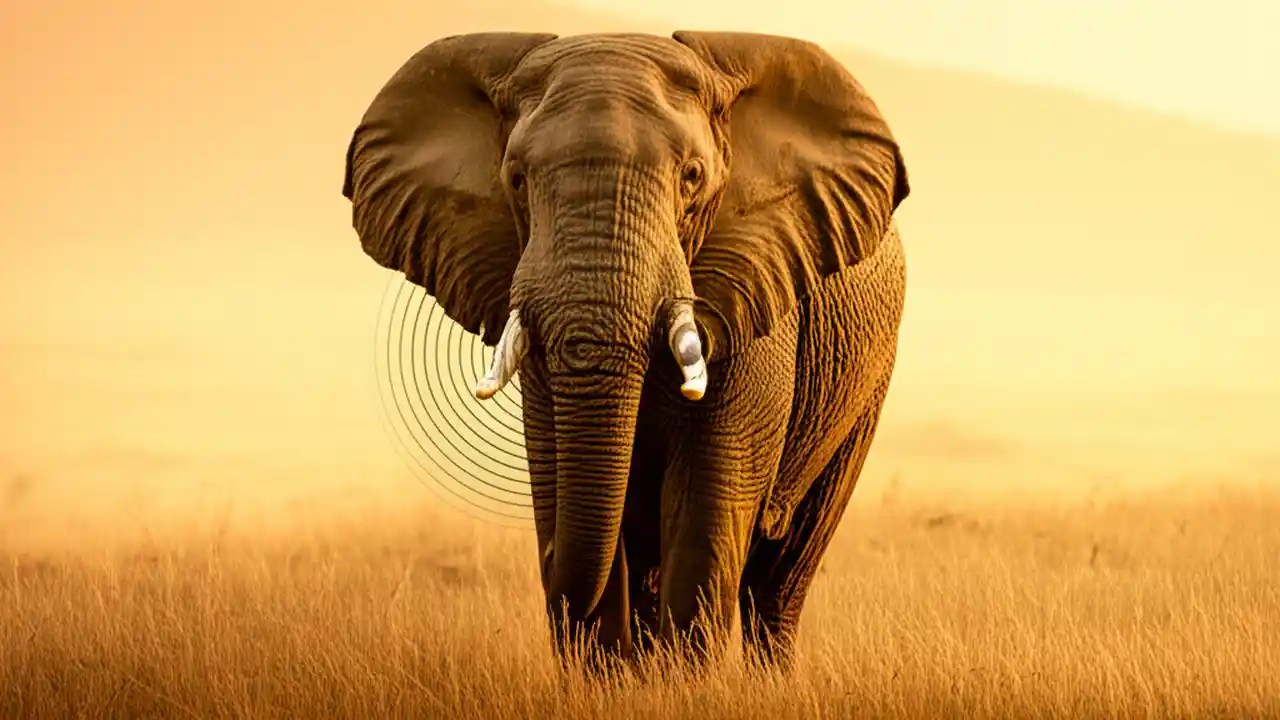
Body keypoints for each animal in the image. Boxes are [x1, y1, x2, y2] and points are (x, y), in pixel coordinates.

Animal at [341, 30, 910, 669]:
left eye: (692, 178)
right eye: (515, 179)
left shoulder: (754, 285)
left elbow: (705, 503)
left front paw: (687, 682)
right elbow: (566, 486)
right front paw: (612, 675)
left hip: (862, 394)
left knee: (782, 577)